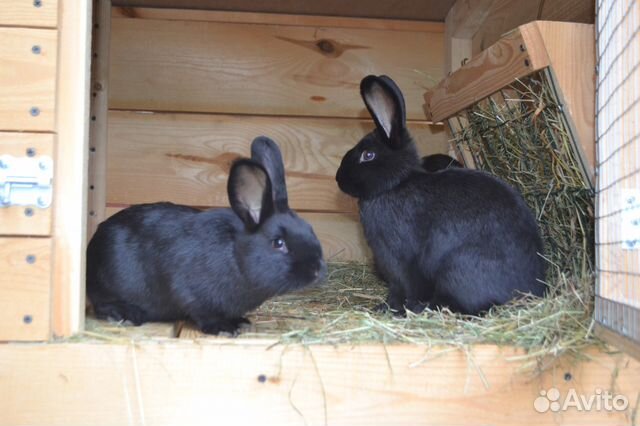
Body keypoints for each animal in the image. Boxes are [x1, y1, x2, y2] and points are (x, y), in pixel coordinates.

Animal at [87, 136, 327, 335]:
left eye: (310, 229)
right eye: (278, 243)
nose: (317, 270)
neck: (236, 255)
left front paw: (240, 322)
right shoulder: (192, 293)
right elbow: (205, 313)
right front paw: (225, 328)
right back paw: (125, 314)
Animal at [335, 75, 545, 316]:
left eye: (368, 155)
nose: (338, 178)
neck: (396, 184)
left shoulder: (398, 260)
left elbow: (402, 287)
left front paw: (392, 309)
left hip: (456, 270)